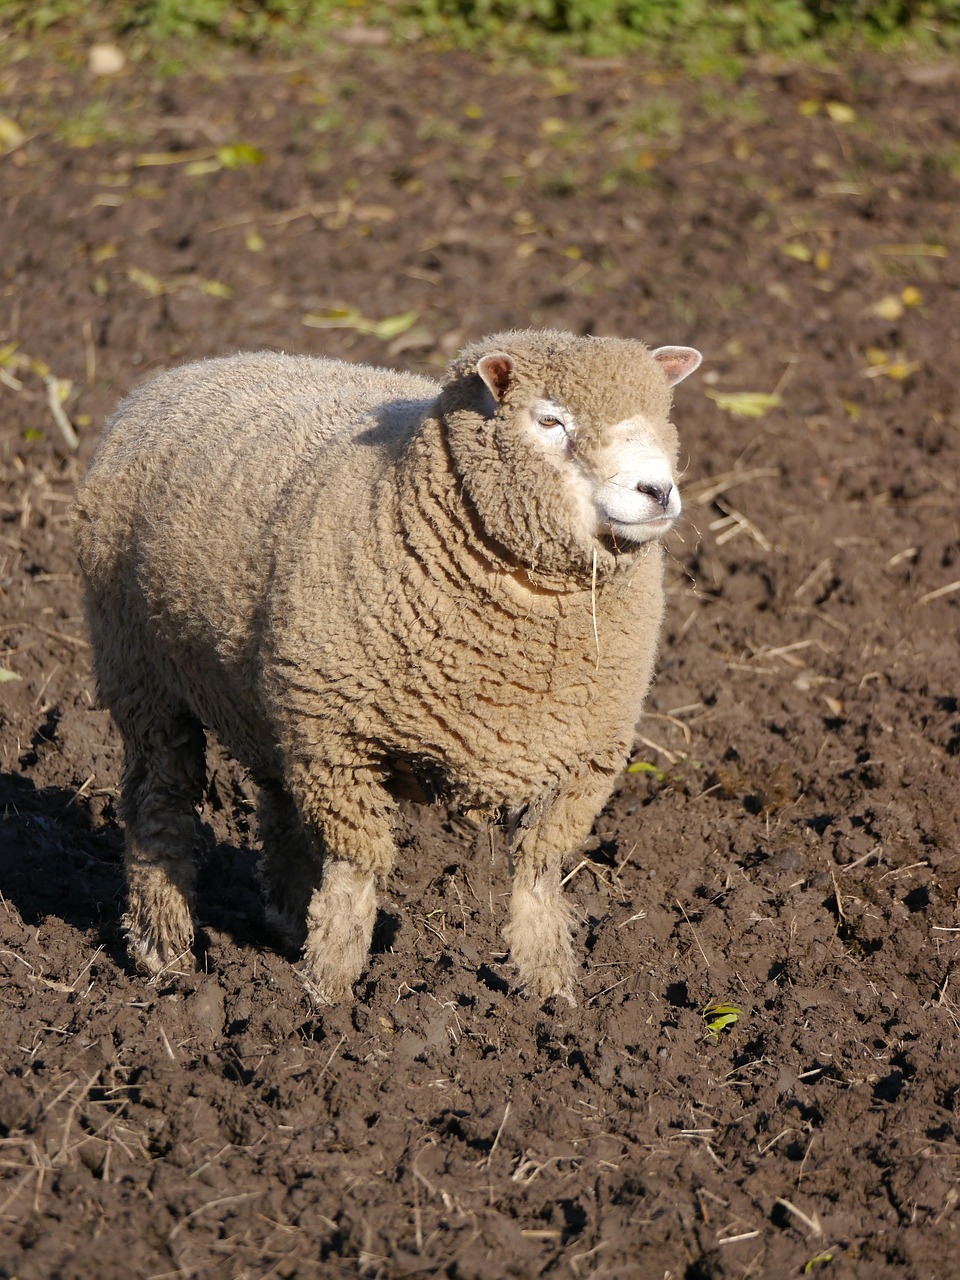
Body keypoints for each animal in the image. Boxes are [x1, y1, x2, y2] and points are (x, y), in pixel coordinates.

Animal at [74, 329, 701, 1005]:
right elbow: (355, 872)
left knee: (280, 803)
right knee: (158, 800)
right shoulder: (340, 741)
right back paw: (162, 948)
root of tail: (186, 371)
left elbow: (537, 874)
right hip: (141, 675)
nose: (657, 491)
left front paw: (551, 991)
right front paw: (328, 992)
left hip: (274, 696)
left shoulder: (581, 759)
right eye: (550, 420)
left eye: (663, 415)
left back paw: (288, 916)